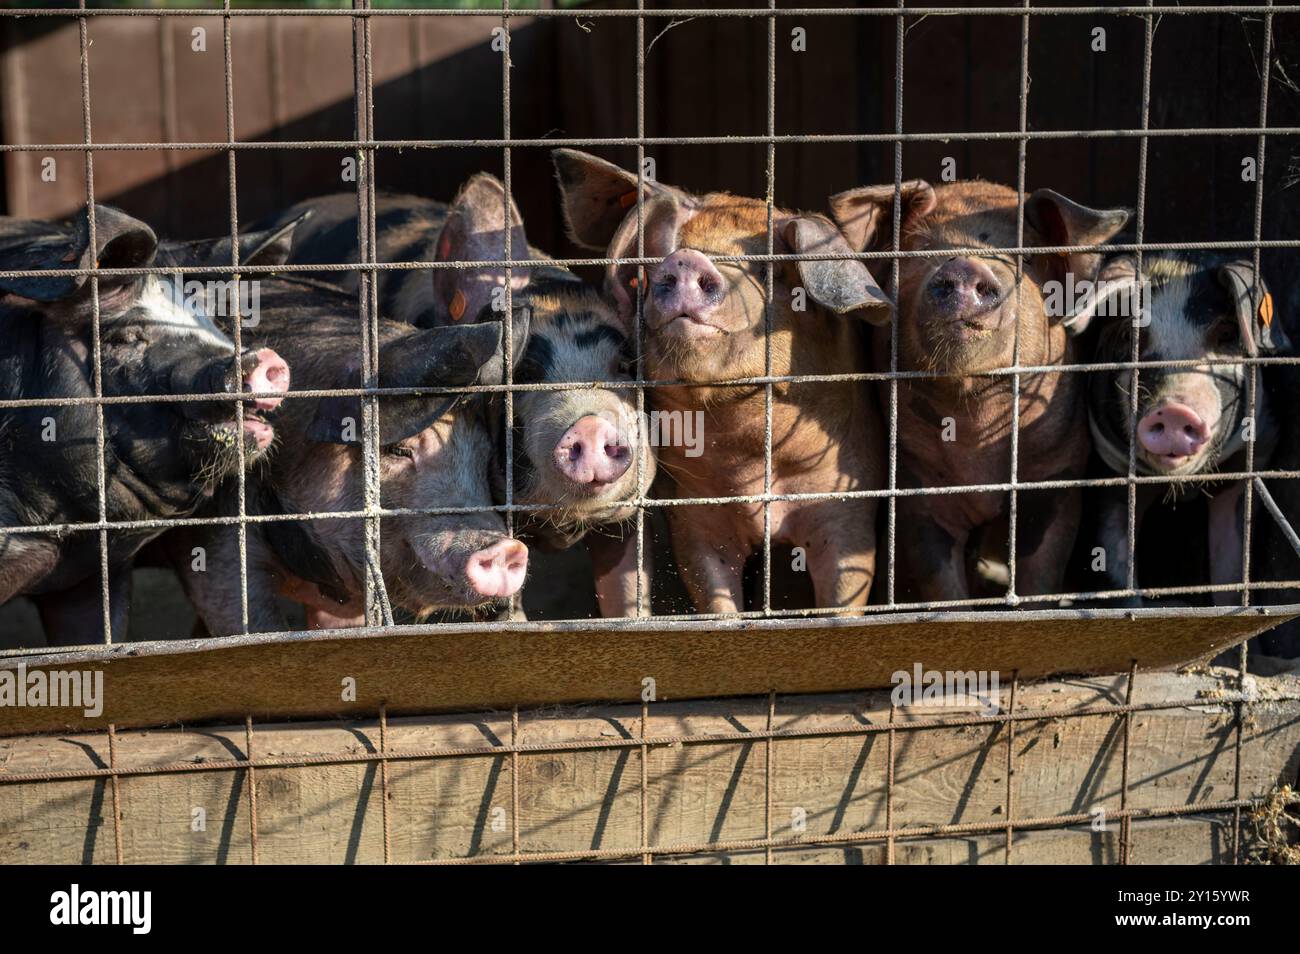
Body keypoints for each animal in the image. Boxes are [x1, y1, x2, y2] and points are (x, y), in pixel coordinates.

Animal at [553, 149, 891, 614]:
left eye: (772, 274)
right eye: (666, 256)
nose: (686, 259)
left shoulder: (848, 504)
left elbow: (846, 589)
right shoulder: (693, 513)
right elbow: (711, 589)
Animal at [828, 179, 1130, 603]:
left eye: (1027, 260)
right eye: (920, 248)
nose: (965, 264)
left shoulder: (1056, 476)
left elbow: (1041, 568)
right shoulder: (917, 487)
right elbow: (940, 578)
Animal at [1075, 250, 1288, 605]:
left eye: (1226, 334)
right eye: (1129, 337)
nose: (1174, 410)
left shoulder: (1253, 453)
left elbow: (1231, 568)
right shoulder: (1106, 463)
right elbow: (1114, 564)